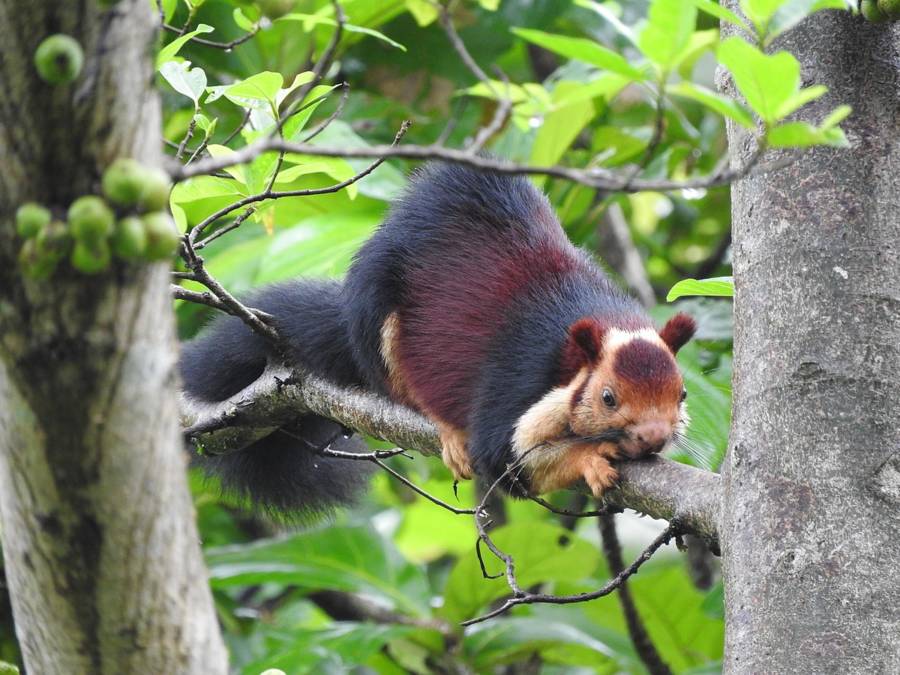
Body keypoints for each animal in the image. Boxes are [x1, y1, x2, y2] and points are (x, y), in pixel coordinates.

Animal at [180, 162, 695, 514]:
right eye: (608, 397)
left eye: (682, 394)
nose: (653, 437)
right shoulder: (518, 379)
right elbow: (504, 461)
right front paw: (590, 457)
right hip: (378, 322)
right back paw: (445, 429)